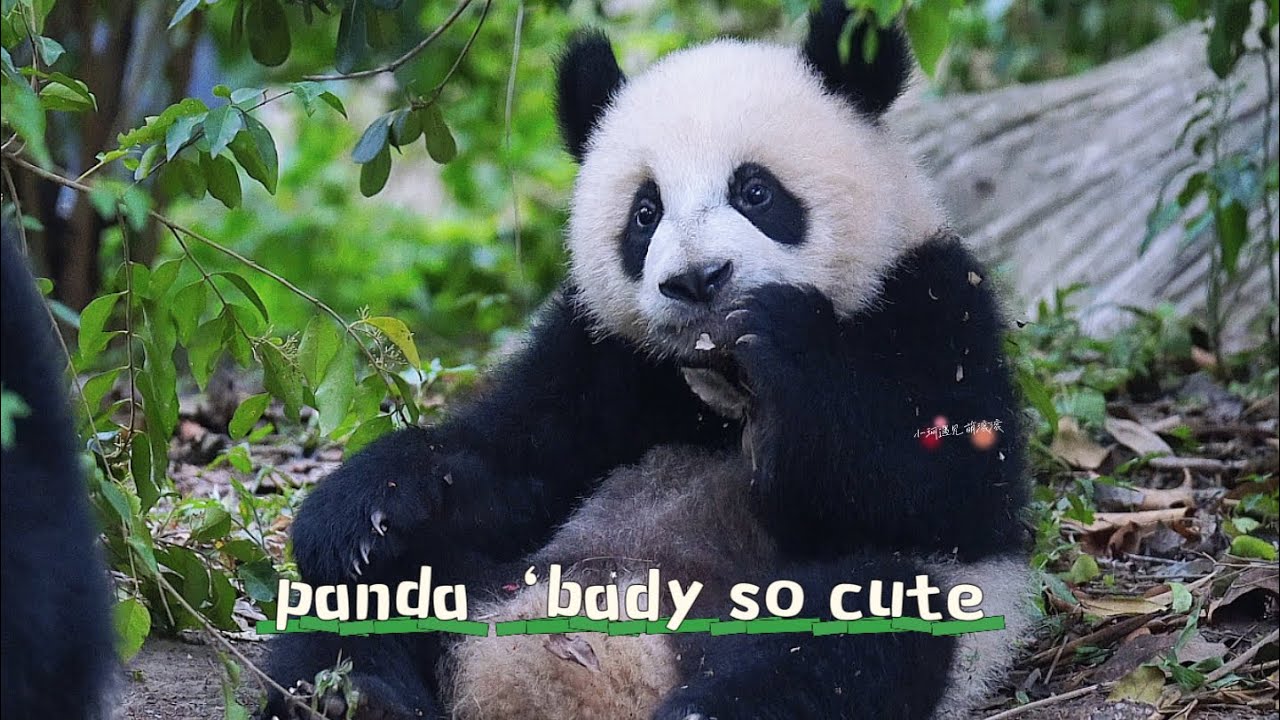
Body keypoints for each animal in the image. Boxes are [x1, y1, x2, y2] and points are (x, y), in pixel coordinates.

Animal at [262, 3, 1030, 719]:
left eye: (756, 191)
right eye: (645, 213)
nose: (697, 280)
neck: (714, 387)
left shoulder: (935, 303)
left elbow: (937, 486)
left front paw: (783, 339)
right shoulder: (603, 352)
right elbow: (510, 453)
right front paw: (359, 510)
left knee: (857, 626)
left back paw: (708, 706)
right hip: (489, 583)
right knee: (371, 600)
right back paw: (348, 696)